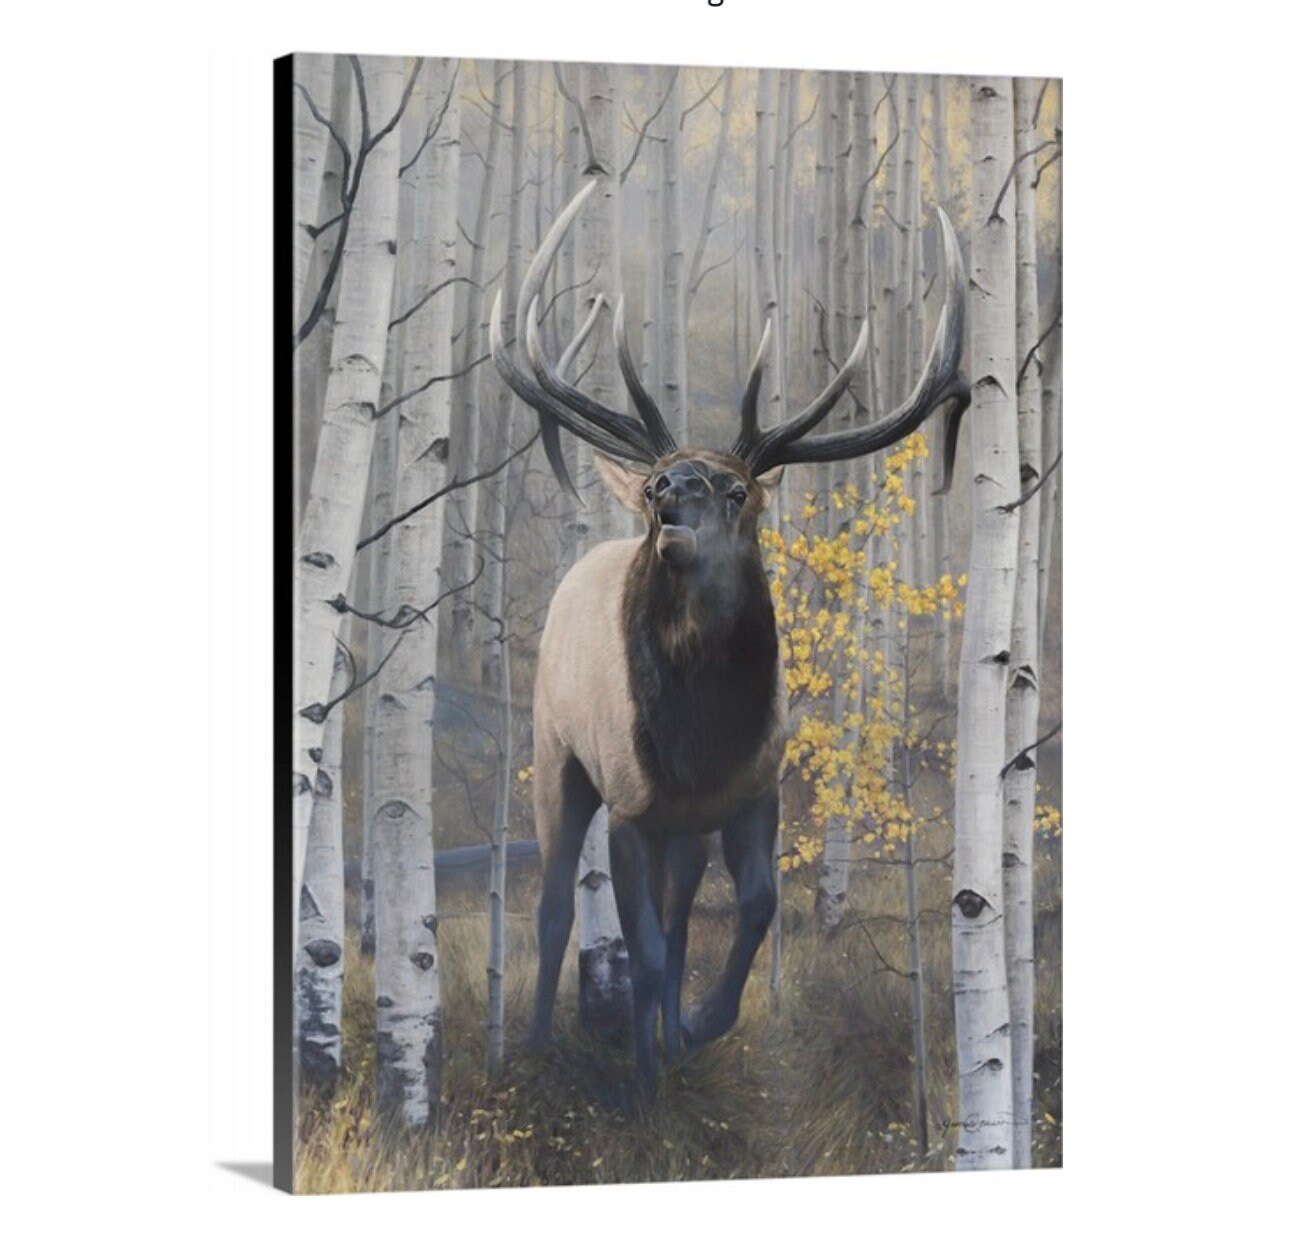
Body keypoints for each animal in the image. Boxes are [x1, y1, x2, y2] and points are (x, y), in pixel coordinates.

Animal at [490, 179, 968, 1096]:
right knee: (554, 904)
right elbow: (638, 950)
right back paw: (532, 1043)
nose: (670, 491)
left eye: (739, 489)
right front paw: (645, 1086)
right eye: (653, 481)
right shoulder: (632, 804)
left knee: (677, 917)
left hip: (686, 829)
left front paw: (699, 1025)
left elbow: (752, 907)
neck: (699, 744)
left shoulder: (753, 791)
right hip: (555, 751)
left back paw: (669, 1033)